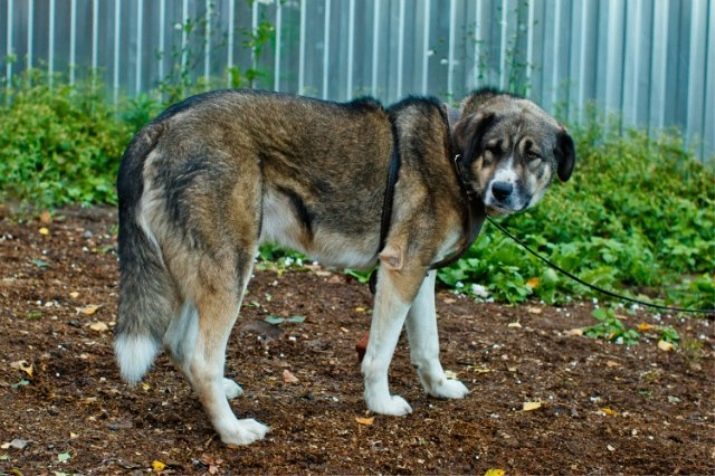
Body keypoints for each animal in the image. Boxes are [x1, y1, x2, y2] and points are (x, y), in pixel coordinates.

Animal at [116, 86, 576, 446]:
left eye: (533, 156)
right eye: (493, 150)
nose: (502, 190)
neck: (454, 154)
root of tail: (161, 125)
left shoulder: (422, 274)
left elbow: (428, 346)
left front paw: (439, 388)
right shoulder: (399, 272)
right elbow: (380, 355)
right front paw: (381, 404)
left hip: (198, 272)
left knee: (177, 341)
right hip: (231, 269)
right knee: (201, 359)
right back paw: (233, 431)